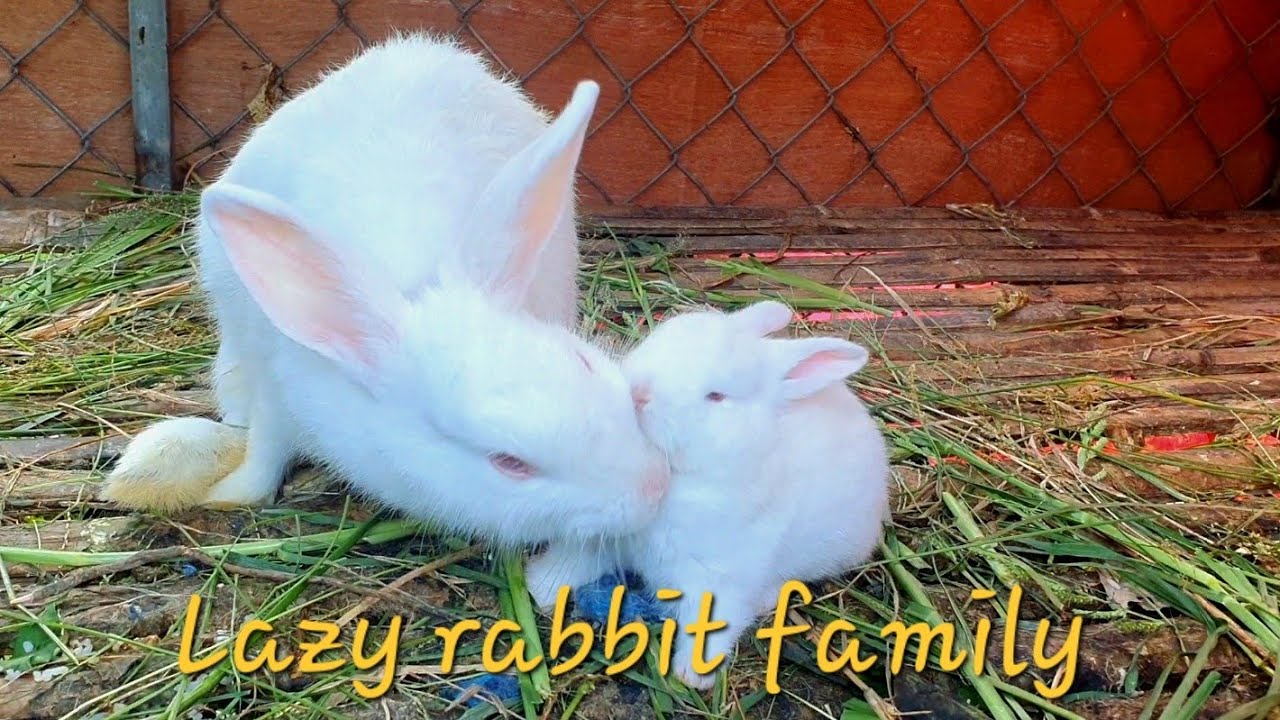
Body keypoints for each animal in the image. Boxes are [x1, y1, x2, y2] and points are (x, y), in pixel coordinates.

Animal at [99, 33, 671, 547]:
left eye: (586, 364)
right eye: (509, 462)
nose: (654, 487)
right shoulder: (276, 394)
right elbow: (263, 457)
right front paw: (231, 495)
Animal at [525, 300, 891, 689]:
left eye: (716, 396)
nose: (639, 393)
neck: (682, 475)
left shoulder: (721, 578)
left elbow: (712, 624)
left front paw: (691, 675)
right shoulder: (612, 539)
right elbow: (576, 560)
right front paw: (540, 586)